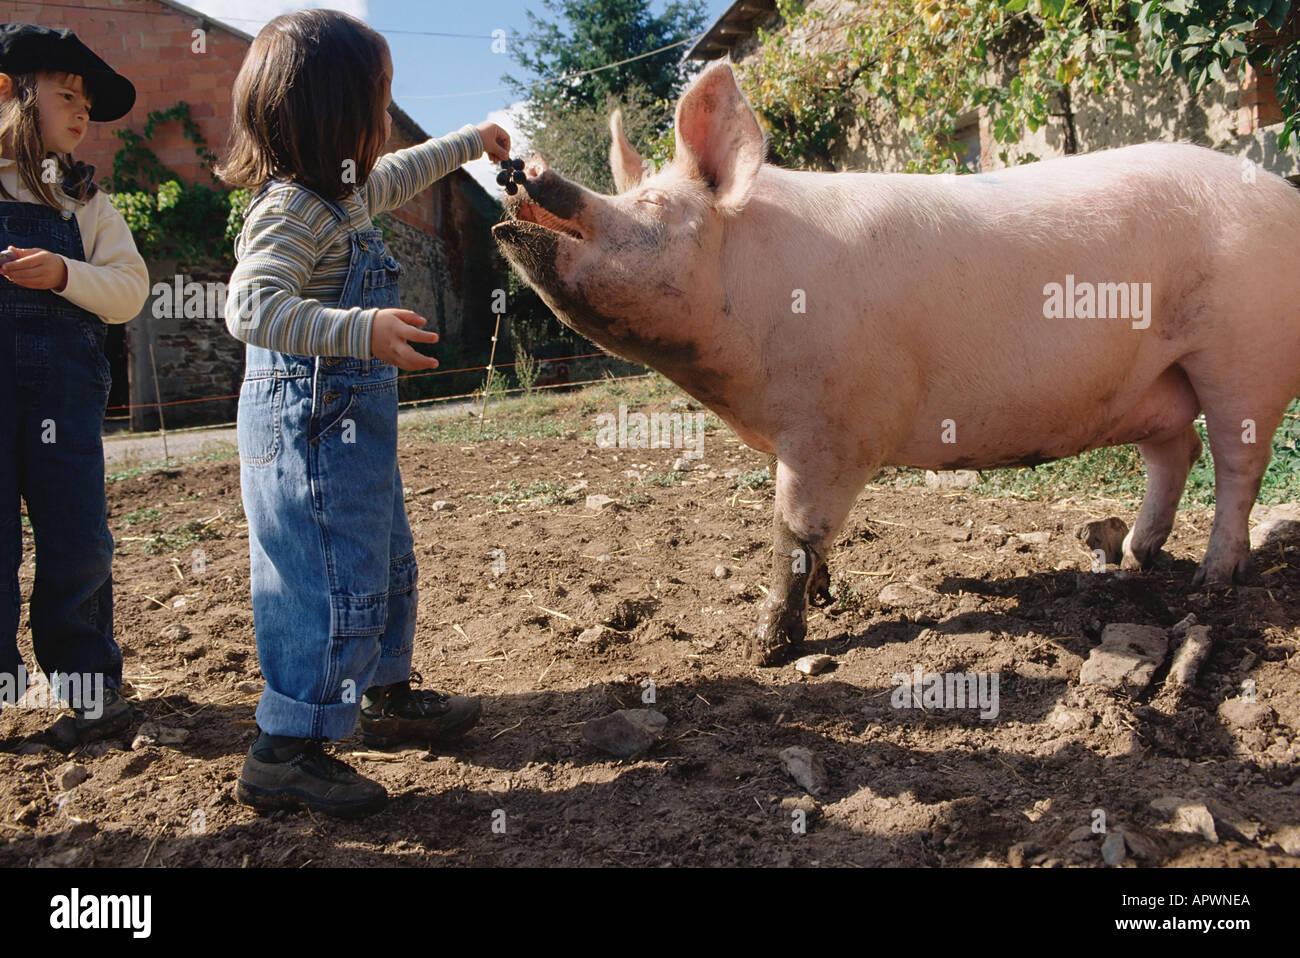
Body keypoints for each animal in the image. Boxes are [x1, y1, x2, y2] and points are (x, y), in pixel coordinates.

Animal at [493, 61, 1300, 666]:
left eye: (654, 208)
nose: (519, 169)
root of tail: (1284, 197)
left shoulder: (834, 428)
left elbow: (794, 533)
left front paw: (768, 648)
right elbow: (814, 539)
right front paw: (823, 598)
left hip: (1242, 355)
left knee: (1237, 462)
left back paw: (1214, 576)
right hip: (1156, 381)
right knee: (1176, 450)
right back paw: (1135, 557)